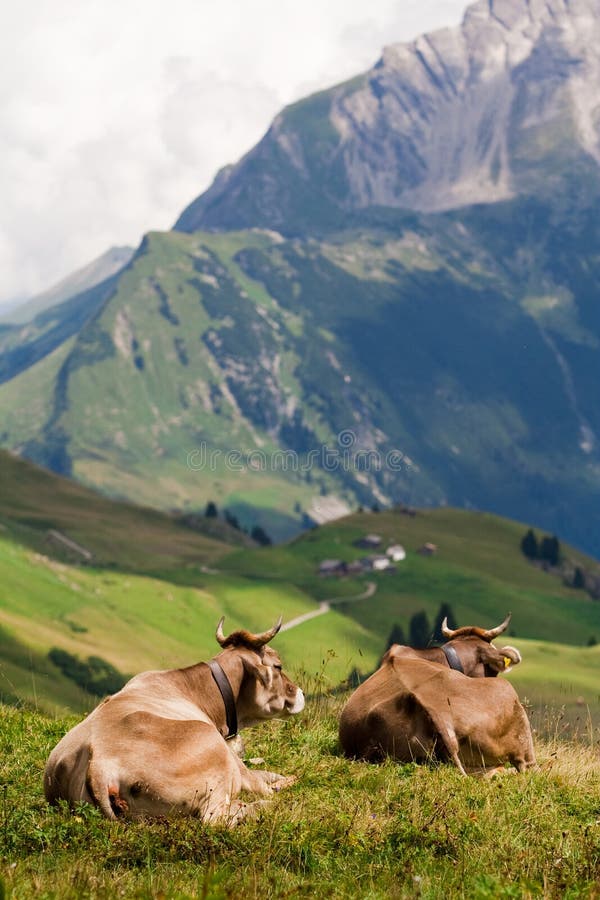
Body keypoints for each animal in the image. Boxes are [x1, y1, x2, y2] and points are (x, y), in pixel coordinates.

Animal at [44, 618, 305, 823]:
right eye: (278, 666)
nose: (301, 693)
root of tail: (99, 765)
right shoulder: (238, 767)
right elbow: (261, 781)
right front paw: (285, 783)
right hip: (214, 753)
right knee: (217, 817)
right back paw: (267, 805)